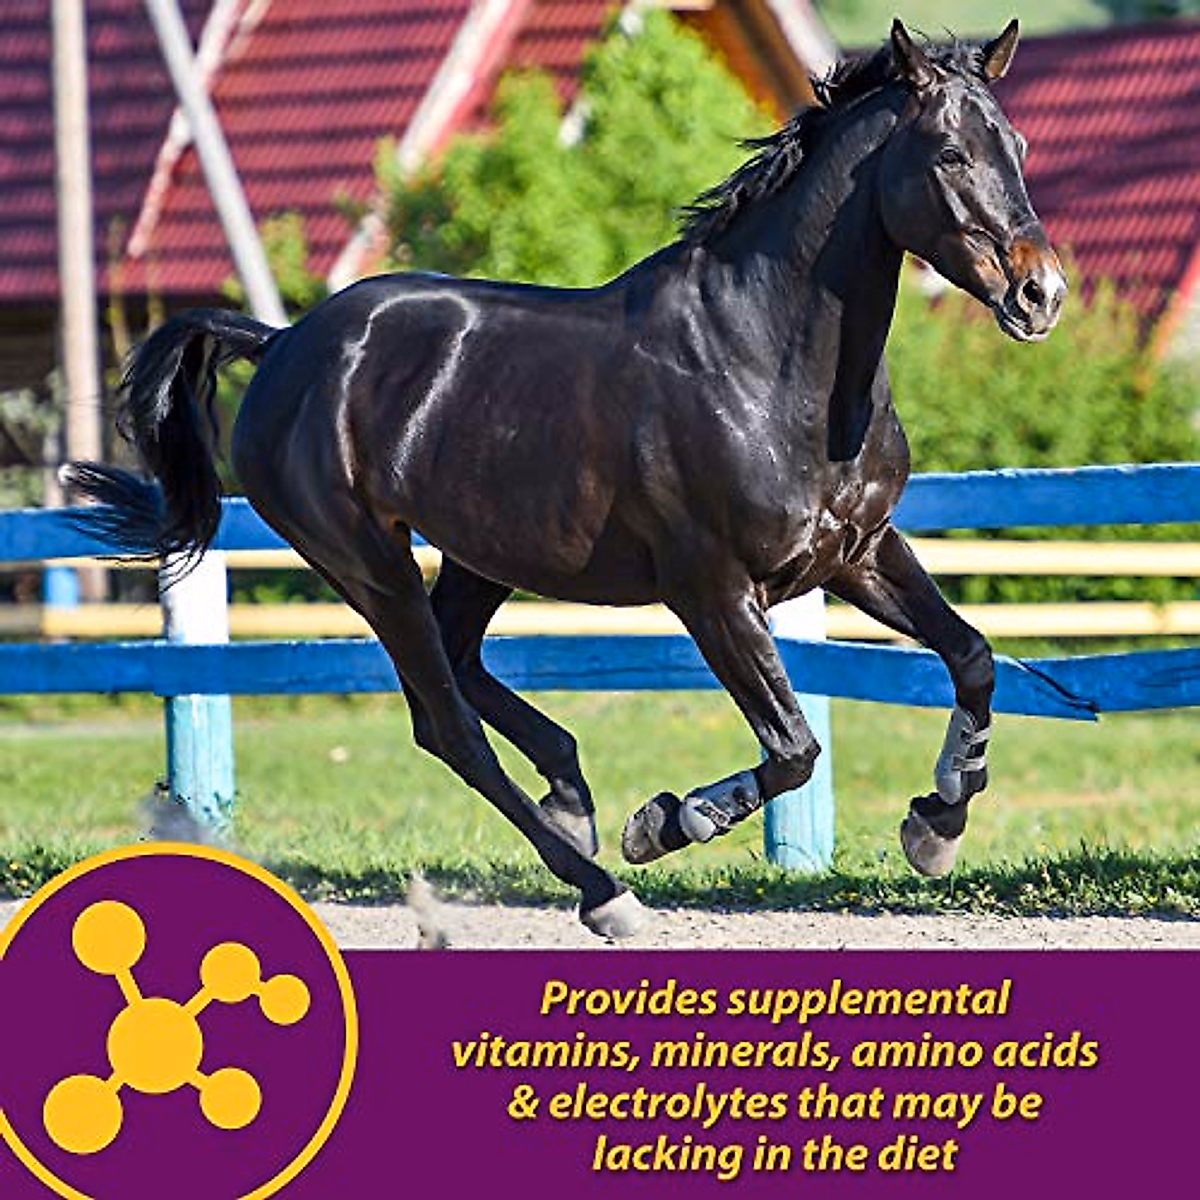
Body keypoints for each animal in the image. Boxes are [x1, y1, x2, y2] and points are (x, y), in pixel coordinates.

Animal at [68, 20, 1065, 939]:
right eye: (949, 154)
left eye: (1015, 147)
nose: (1041, 294)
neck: (766, 360)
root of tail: (281, 345)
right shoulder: (711, 590)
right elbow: (793, 748)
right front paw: (665, 822)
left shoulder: (857, 554)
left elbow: (972, 657)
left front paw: (936, 821)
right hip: (367, 562)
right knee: (447, 725)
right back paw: (604, 886)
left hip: (479, 555)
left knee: (461, 666)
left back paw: (569, 795)